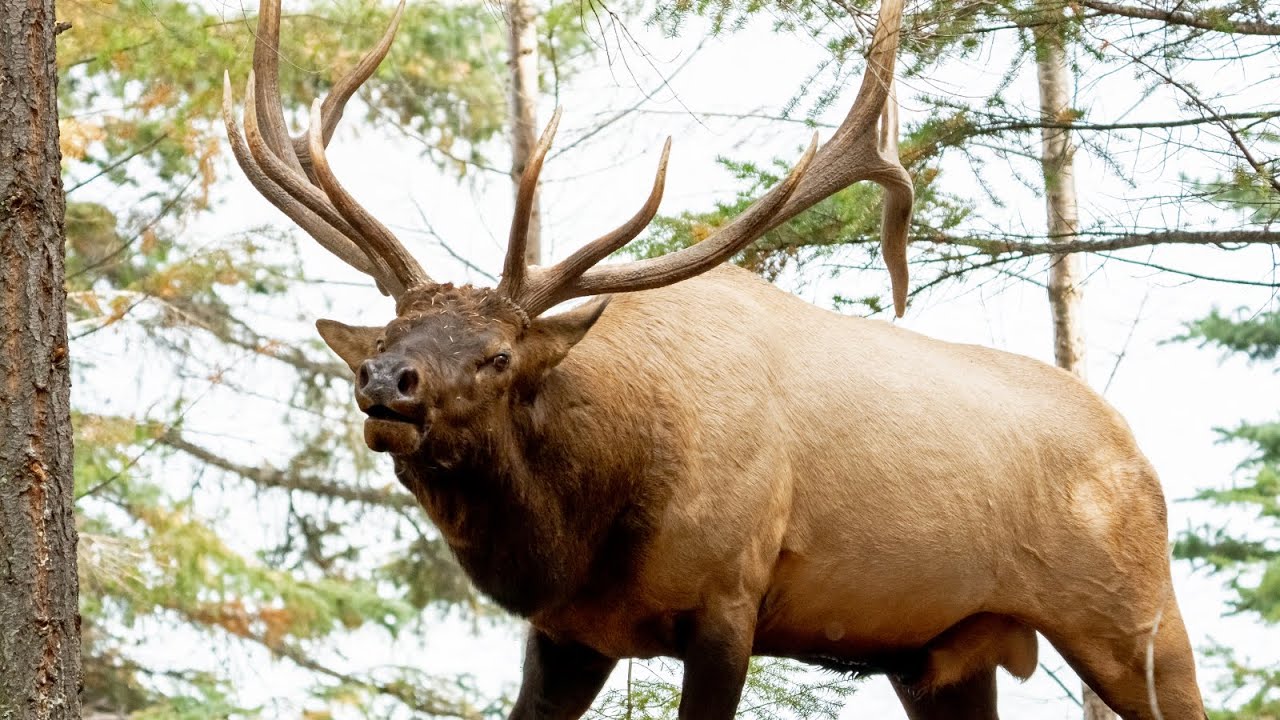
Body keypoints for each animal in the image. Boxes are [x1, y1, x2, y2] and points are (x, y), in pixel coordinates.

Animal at [221, 0, 1206, 717]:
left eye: (500, 355)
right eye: (389, 335)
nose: (386, 382)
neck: (591, 522)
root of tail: (1139, 455)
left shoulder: (729, 600)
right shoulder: (570, 633)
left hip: (1139, 622)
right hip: (944, 655)